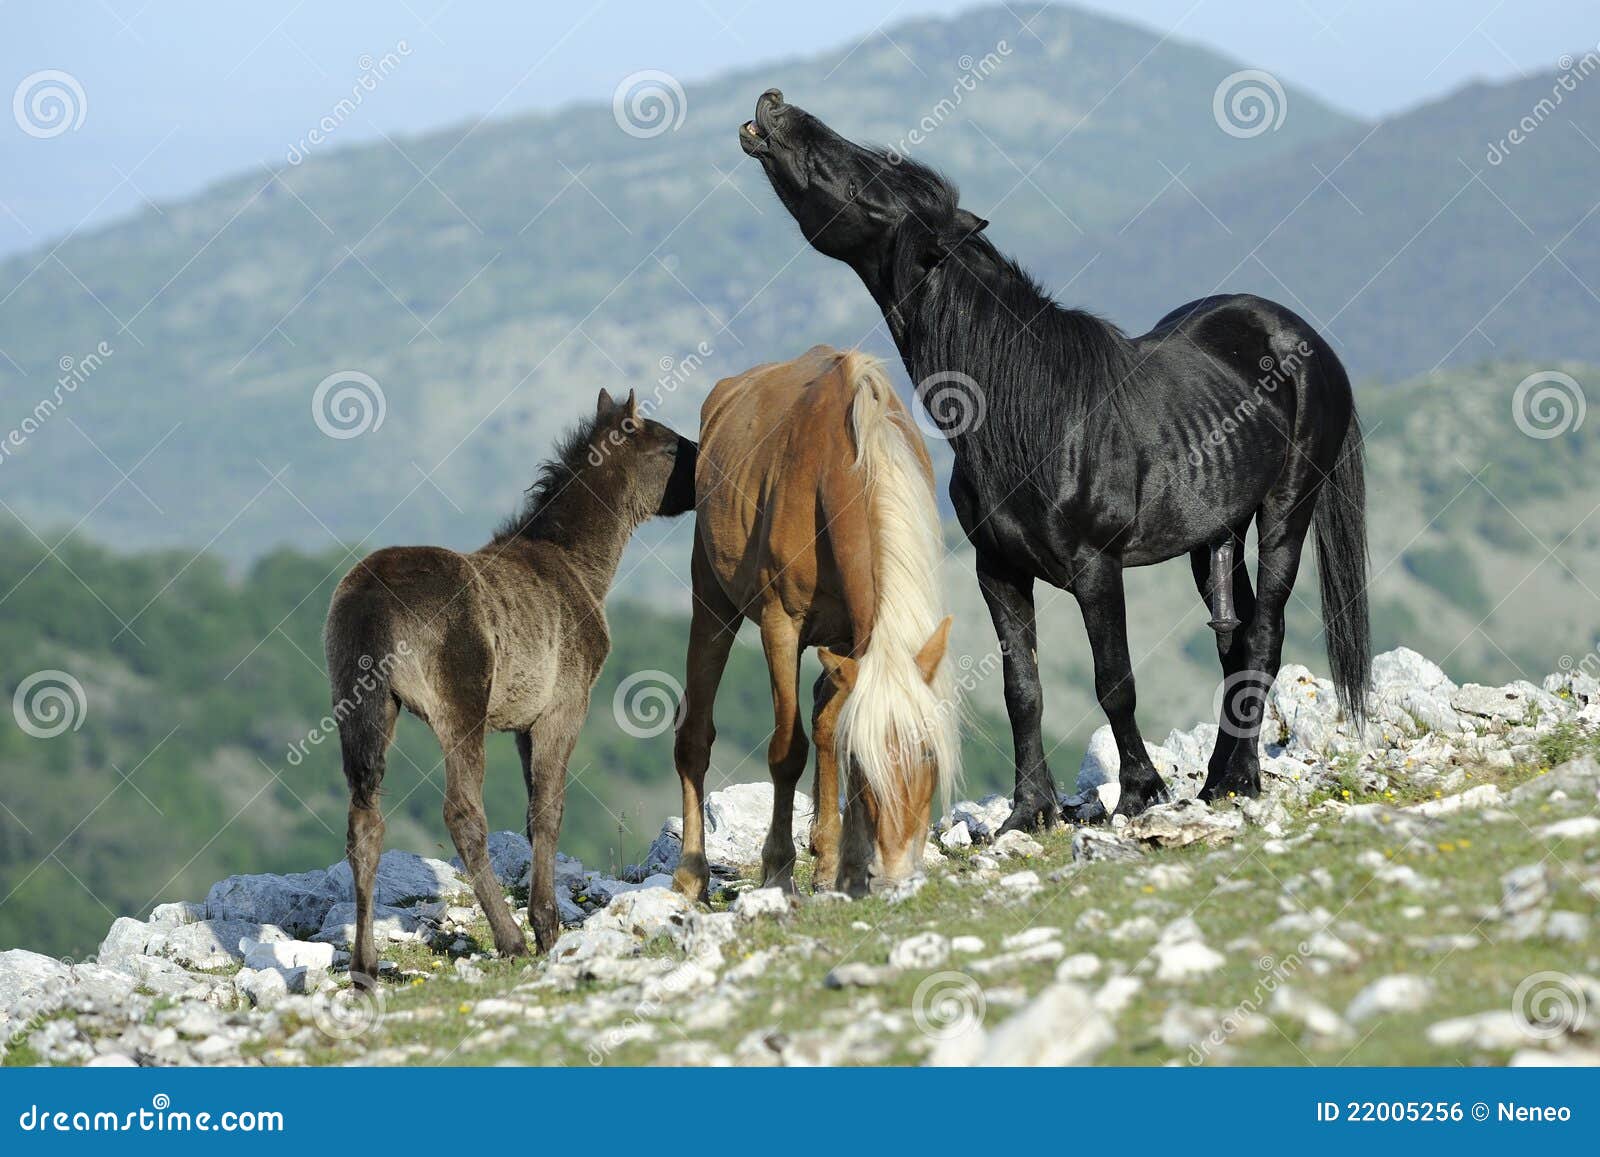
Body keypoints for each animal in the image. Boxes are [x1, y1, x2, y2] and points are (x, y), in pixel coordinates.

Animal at [324, 391, 695, 985]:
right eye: (669, 447)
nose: (710, 475)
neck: (574, 563)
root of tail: (373, 598)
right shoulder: (562, 708)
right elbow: (548, 810)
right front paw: (546, 928)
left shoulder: (523, 724)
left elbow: (531, 811)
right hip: (461, 707)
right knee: (462, 813)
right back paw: (509, 938)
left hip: (366, 709)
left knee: (364, 824)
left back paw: (365, 968)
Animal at [672, 346, 959, 899]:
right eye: (867, 771)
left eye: (929, 757)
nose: (897, 876)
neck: (842, 468)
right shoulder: (780, 625)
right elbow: (789, 750)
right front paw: (779, 870)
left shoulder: (854, 640)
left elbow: (831, 733)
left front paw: (846, 864)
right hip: (711, 603)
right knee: (695, 736)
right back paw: (691, 873)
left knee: (825, 721)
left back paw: (827, 856)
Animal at [738, 90, 1370, 833]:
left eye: (872, 184)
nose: (774, 106)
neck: (1031, 410)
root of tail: (1304, 336)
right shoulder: (999, 571)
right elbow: (1024, 688)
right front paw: (1029, 811)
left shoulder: (1098, 570)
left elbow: (1114, 681)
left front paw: (1139, 792)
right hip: (1214, 535)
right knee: (1235, 642)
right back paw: (1220, 776)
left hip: (1286, 509)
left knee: (1264, 632)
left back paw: (1236, 779)